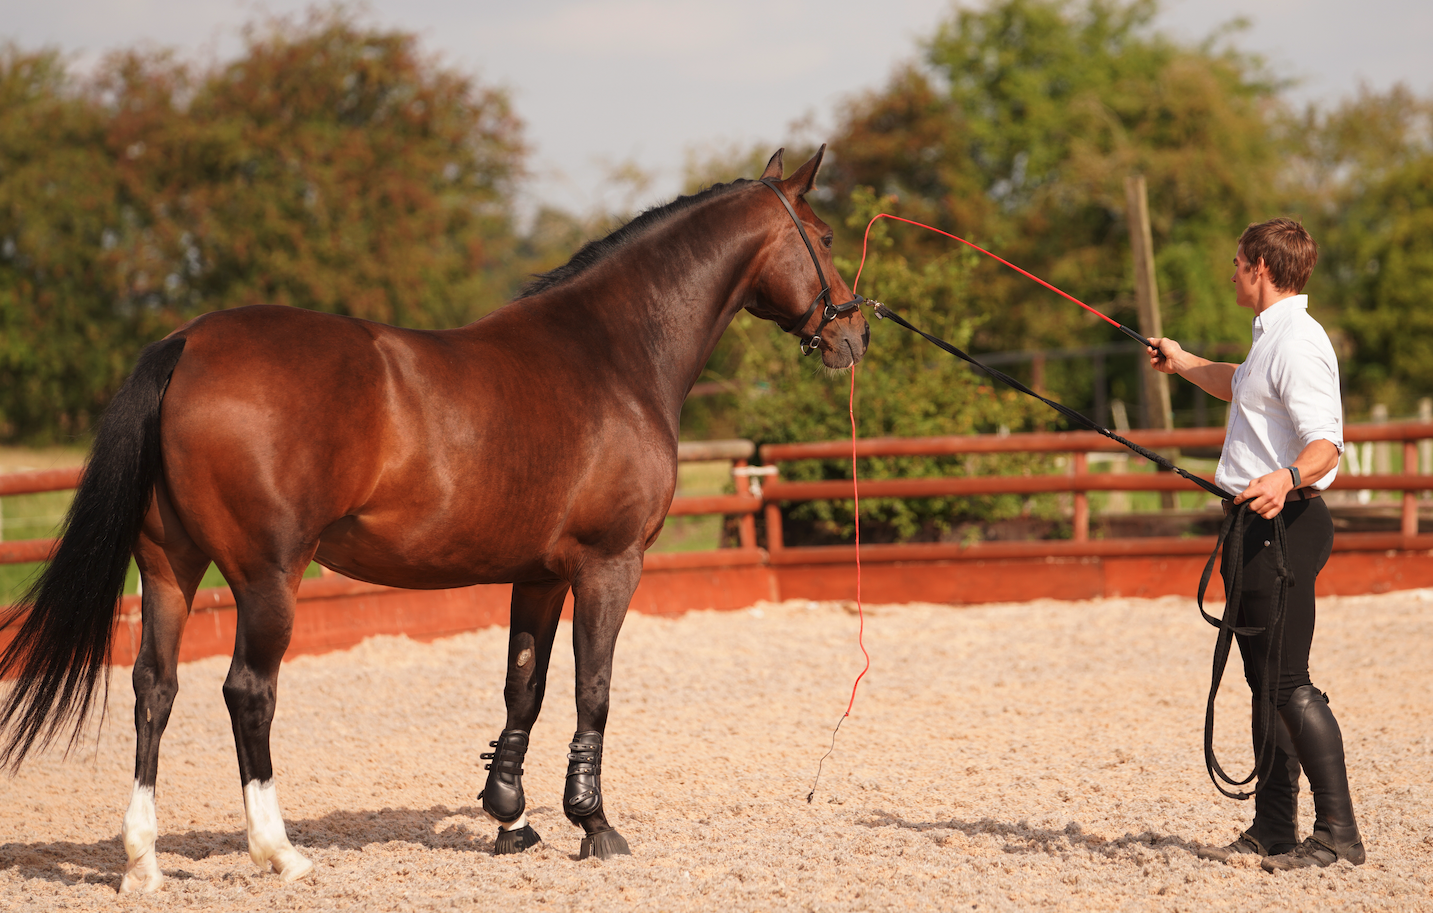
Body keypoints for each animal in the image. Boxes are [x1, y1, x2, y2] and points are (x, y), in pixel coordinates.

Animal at [0, 147, 868, 892]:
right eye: (824, 236)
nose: (854, 331)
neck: (612, 352)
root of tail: (188, 341)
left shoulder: (539, 574)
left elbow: (524, 688)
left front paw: (510, 816)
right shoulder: (609, 564)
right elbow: (591, 688)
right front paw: (593, 824)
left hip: (169, 567)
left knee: (155, 685)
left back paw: (141, 861)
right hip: (267, 576)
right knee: (247, 690)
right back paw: (280, 851)